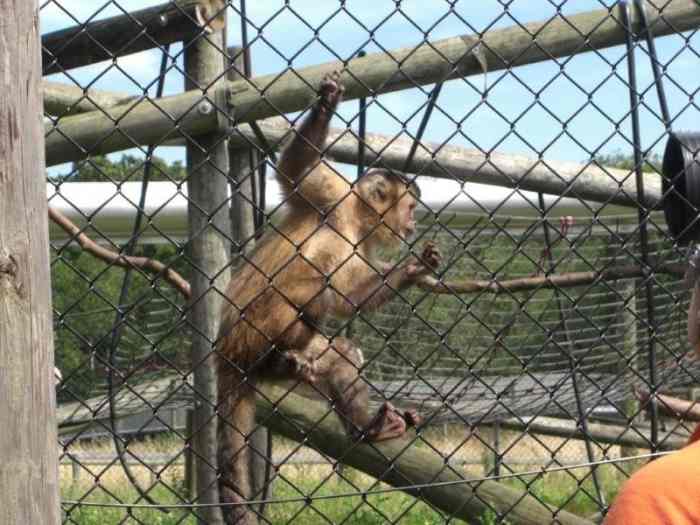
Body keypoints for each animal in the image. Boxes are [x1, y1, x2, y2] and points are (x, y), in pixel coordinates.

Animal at [216, 71, 441, 524]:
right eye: (410, 207)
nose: (414, 222)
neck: (353, 221)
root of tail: (225, 358)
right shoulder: (334, 195)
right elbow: (295, 172)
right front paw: (327, 104)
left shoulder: (363, 246)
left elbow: (348, 300)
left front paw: (412, 270)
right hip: (249, 335)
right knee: (301, 296)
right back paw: (282, 356)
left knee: (339, 354)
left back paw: (366, 426)